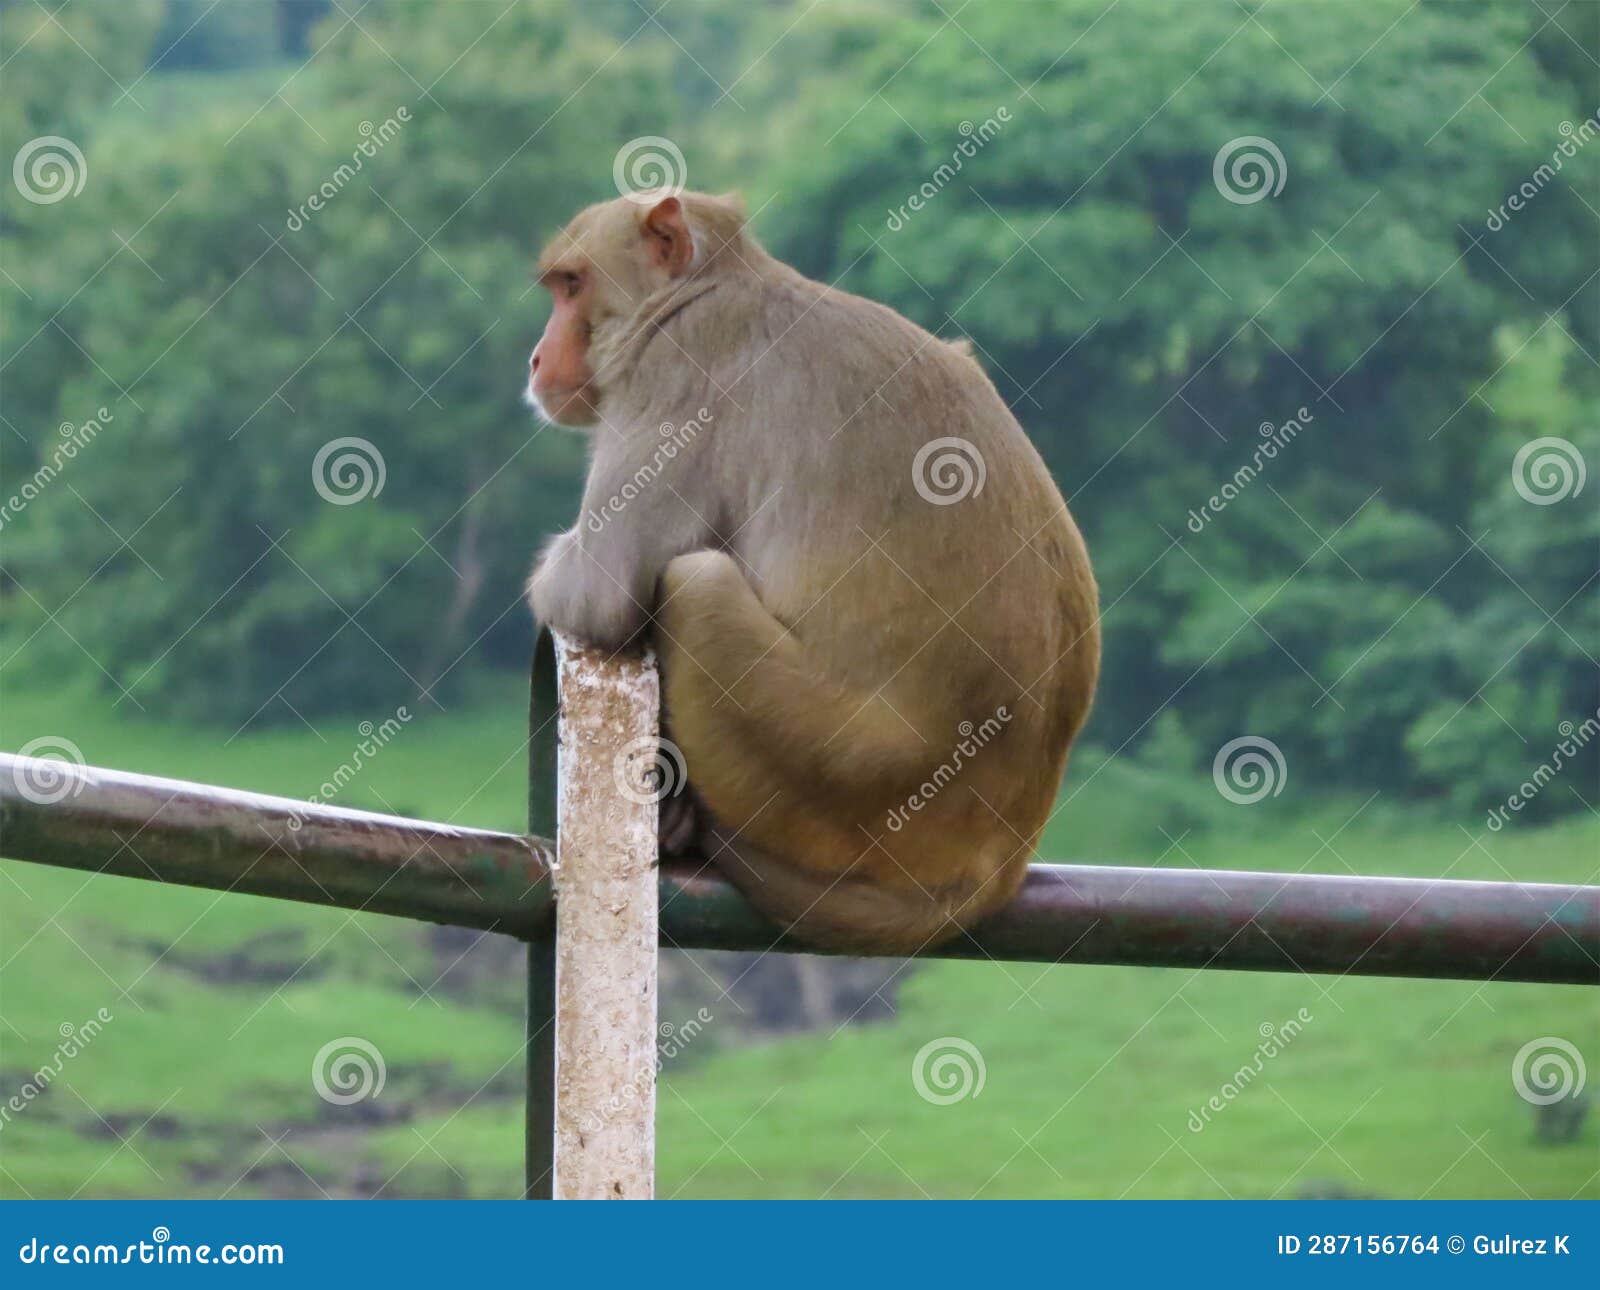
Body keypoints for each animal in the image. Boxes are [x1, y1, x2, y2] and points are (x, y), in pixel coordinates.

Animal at [525, 188, 1099, 954]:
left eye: (571, 286)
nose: (537, 358)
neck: (714, 285)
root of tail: (997, 858)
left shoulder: (675, 370)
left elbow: (596, 590)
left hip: (839, 773)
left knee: (696, 585)